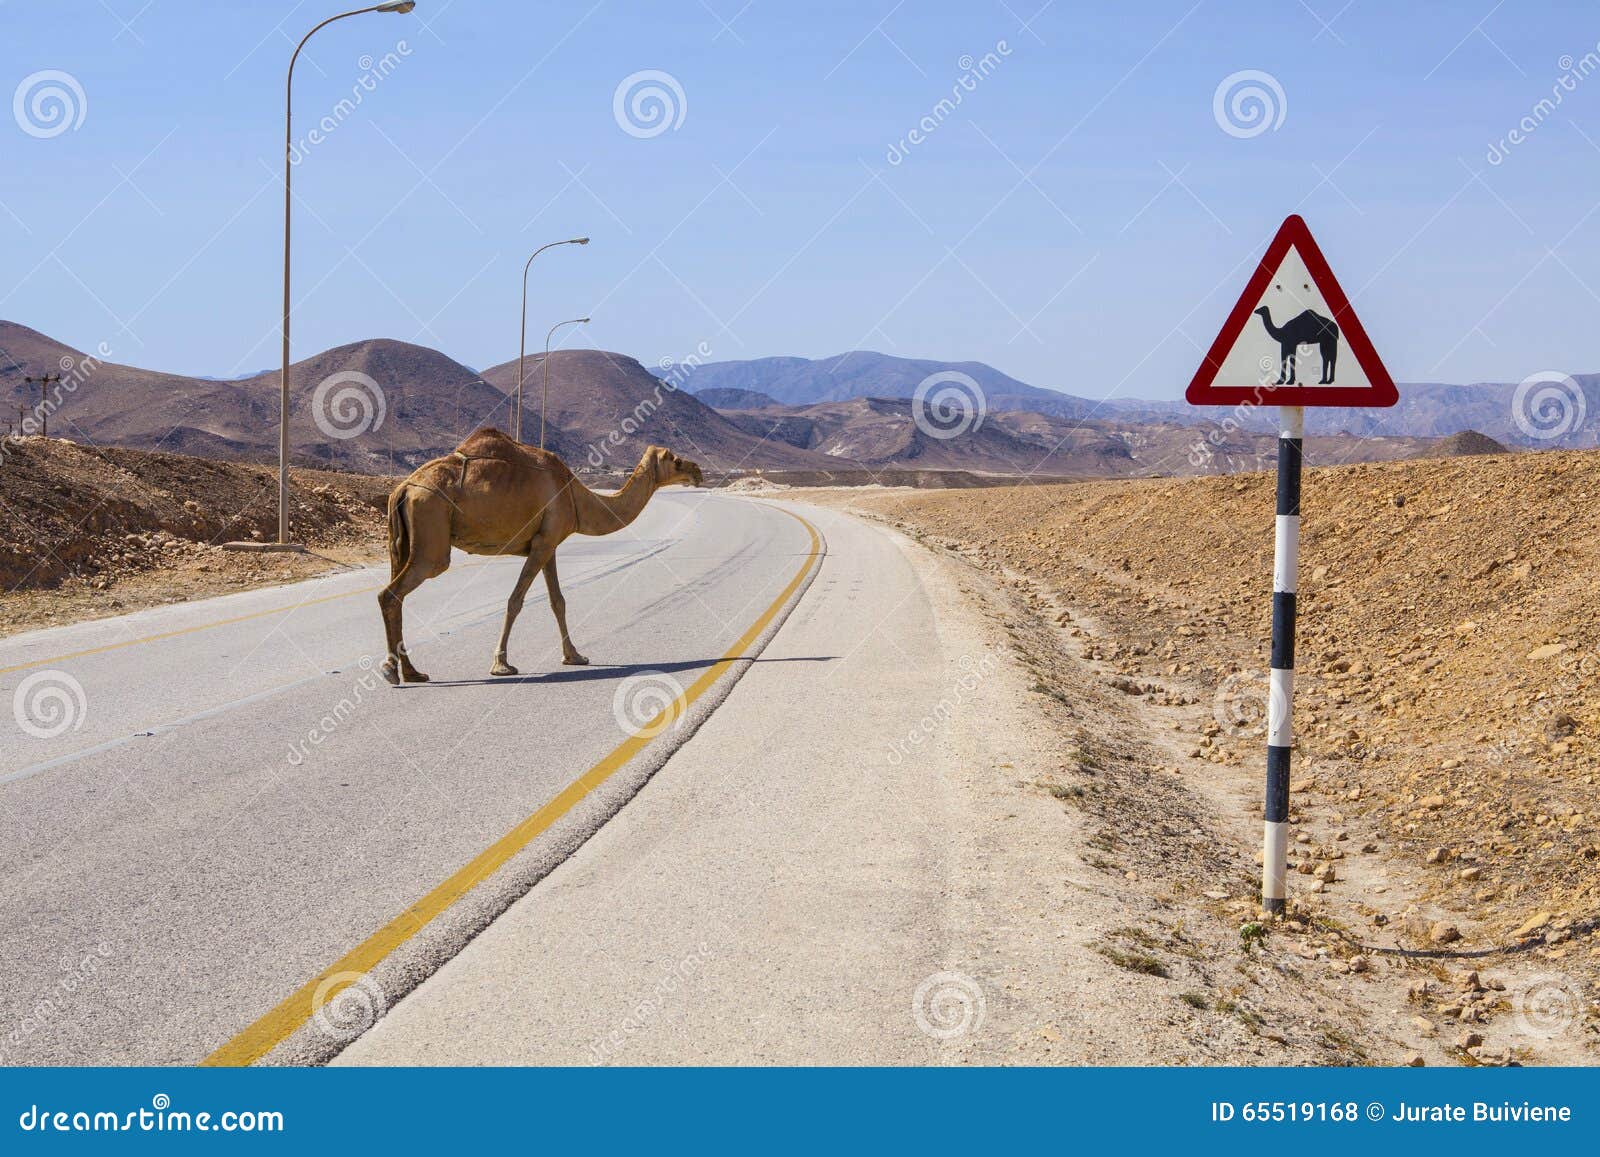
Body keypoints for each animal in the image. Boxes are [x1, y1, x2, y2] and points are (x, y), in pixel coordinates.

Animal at [377, 428, 703, 685]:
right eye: (675, 460)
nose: (697, 471)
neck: (576, 497)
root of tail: (402, 488)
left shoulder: (549, 544)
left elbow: (558, 601)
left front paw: (574, 655)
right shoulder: (544, 542)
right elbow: (515, 600)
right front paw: (501, 664)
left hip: (401, 543)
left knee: (395, 595)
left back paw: (412, 672)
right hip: (431, 531)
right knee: (393, 592)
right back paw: (394, 670)